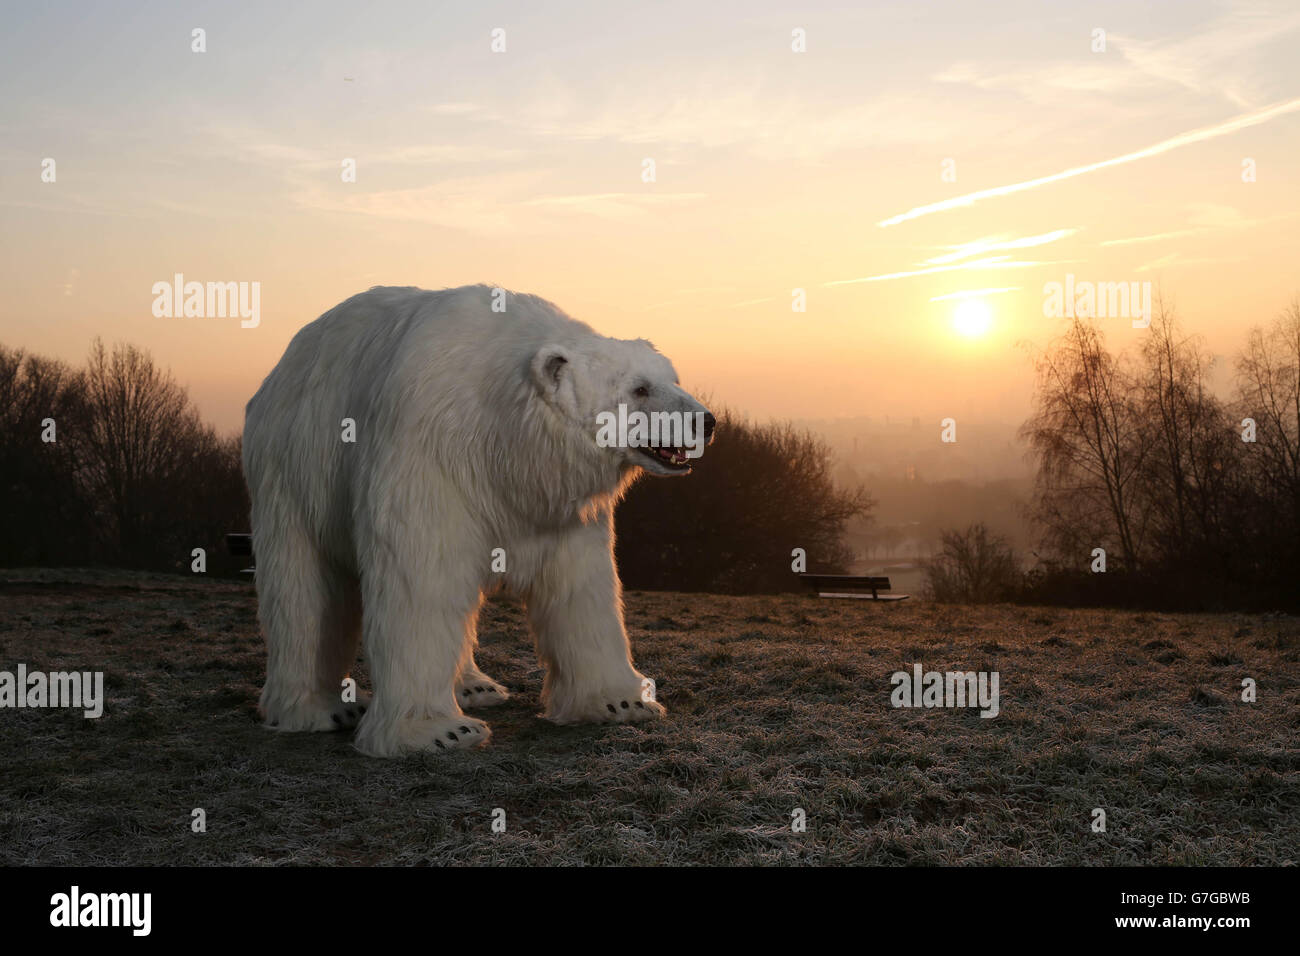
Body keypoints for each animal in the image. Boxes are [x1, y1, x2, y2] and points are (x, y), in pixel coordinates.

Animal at [242, 285, 714, 756]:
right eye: (639, 388)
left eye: (672, 379)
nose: (705, 421)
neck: (502, 435)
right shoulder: (429, 453)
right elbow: (422, 580)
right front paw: (439, 731)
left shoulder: (552, 503)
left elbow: (580, 585)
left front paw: (620, 702)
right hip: (293, 466)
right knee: (302, 589)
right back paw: (319, 710)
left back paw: (474, 687)